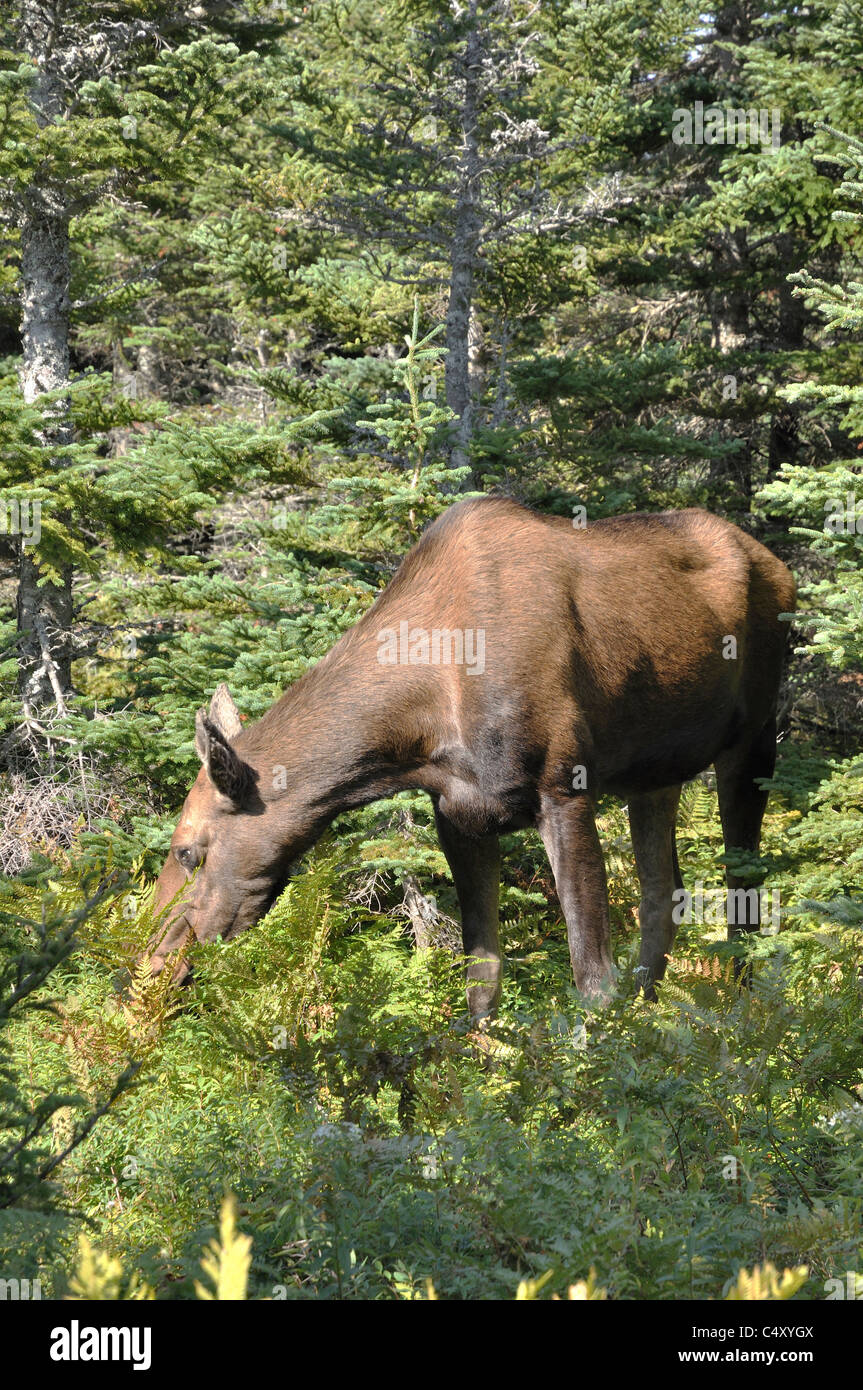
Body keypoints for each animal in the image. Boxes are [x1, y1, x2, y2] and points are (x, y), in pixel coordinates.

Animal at [148, 497, 796, 1019]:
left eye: (187, 851)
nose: (151, 963)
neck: (421, 729)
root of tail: (781, 567)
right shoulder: (460, 817)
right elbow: (481, 980)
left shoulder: (565, 789)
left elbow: (590, 978)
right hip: (654, 773)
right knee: (663, 891)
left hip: (754, 737)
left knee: (742, 886)